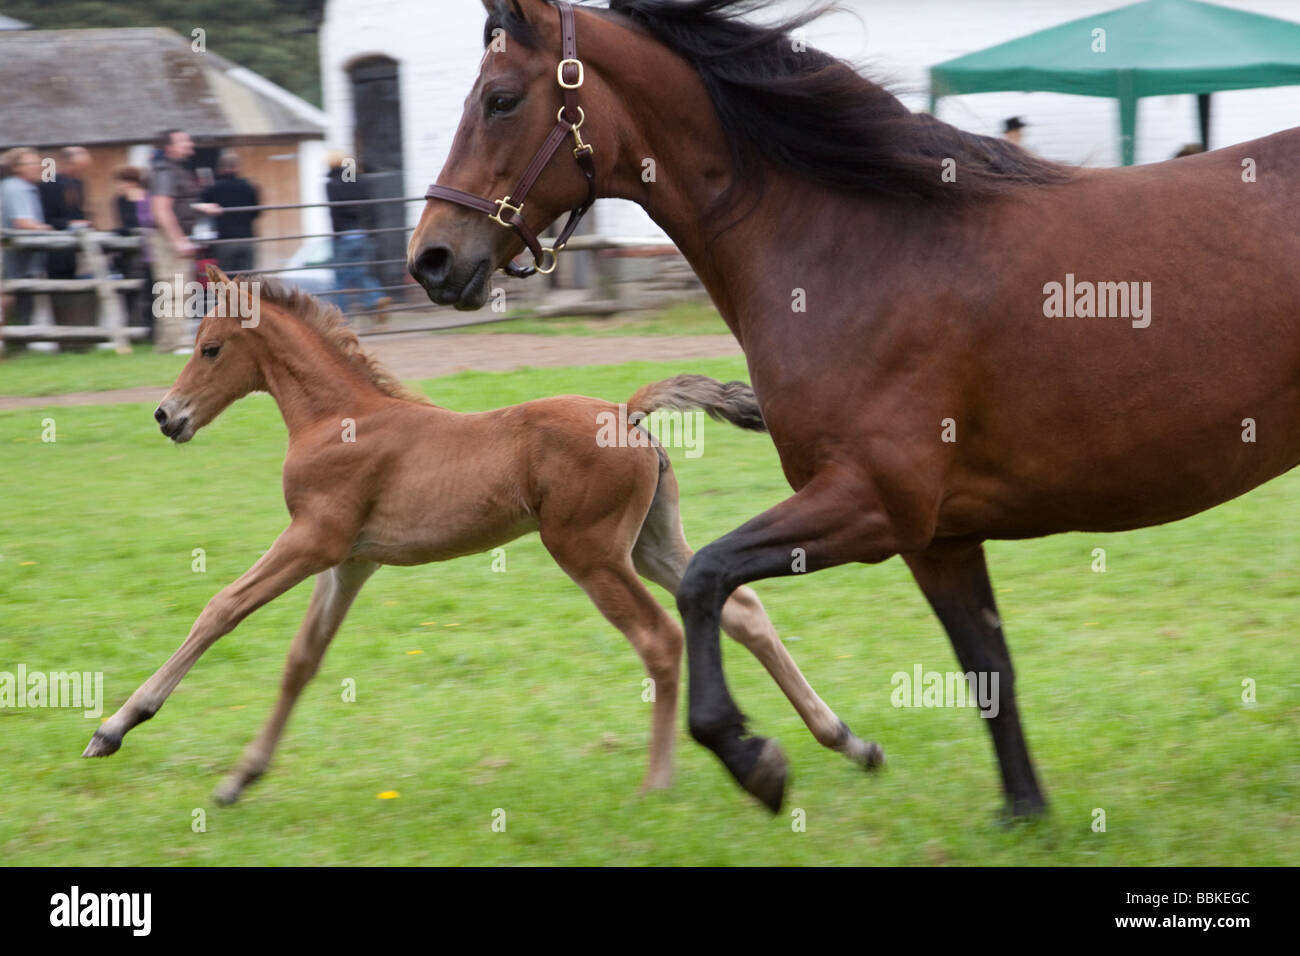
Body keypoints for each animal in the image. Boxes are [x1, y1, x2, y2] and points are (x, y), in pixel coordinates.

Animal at [81, 266, 881, 803]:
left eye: (212, 348)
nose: (166, 415)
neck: (338, 418)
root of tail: (628, 413)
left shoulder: (312, 539)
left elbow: (219, 608)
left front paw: (118, 725)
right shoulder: (350, 562)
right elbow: (302, 661)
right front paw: (240, 778)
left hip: (588, 551)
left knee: (660, 638)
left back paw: (658, 782)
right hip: (650, 543)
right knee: (742, 611)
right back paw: (847, 741)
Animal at [406, 0, 1300, 817]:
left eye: (500, 99)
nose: (432, 260)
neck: (858, 246)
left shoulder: (872, 503)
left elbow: (705, 577)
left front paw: (753, 757)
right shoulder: (938, 536)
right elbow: (987, 667)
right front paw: (1025, 813)